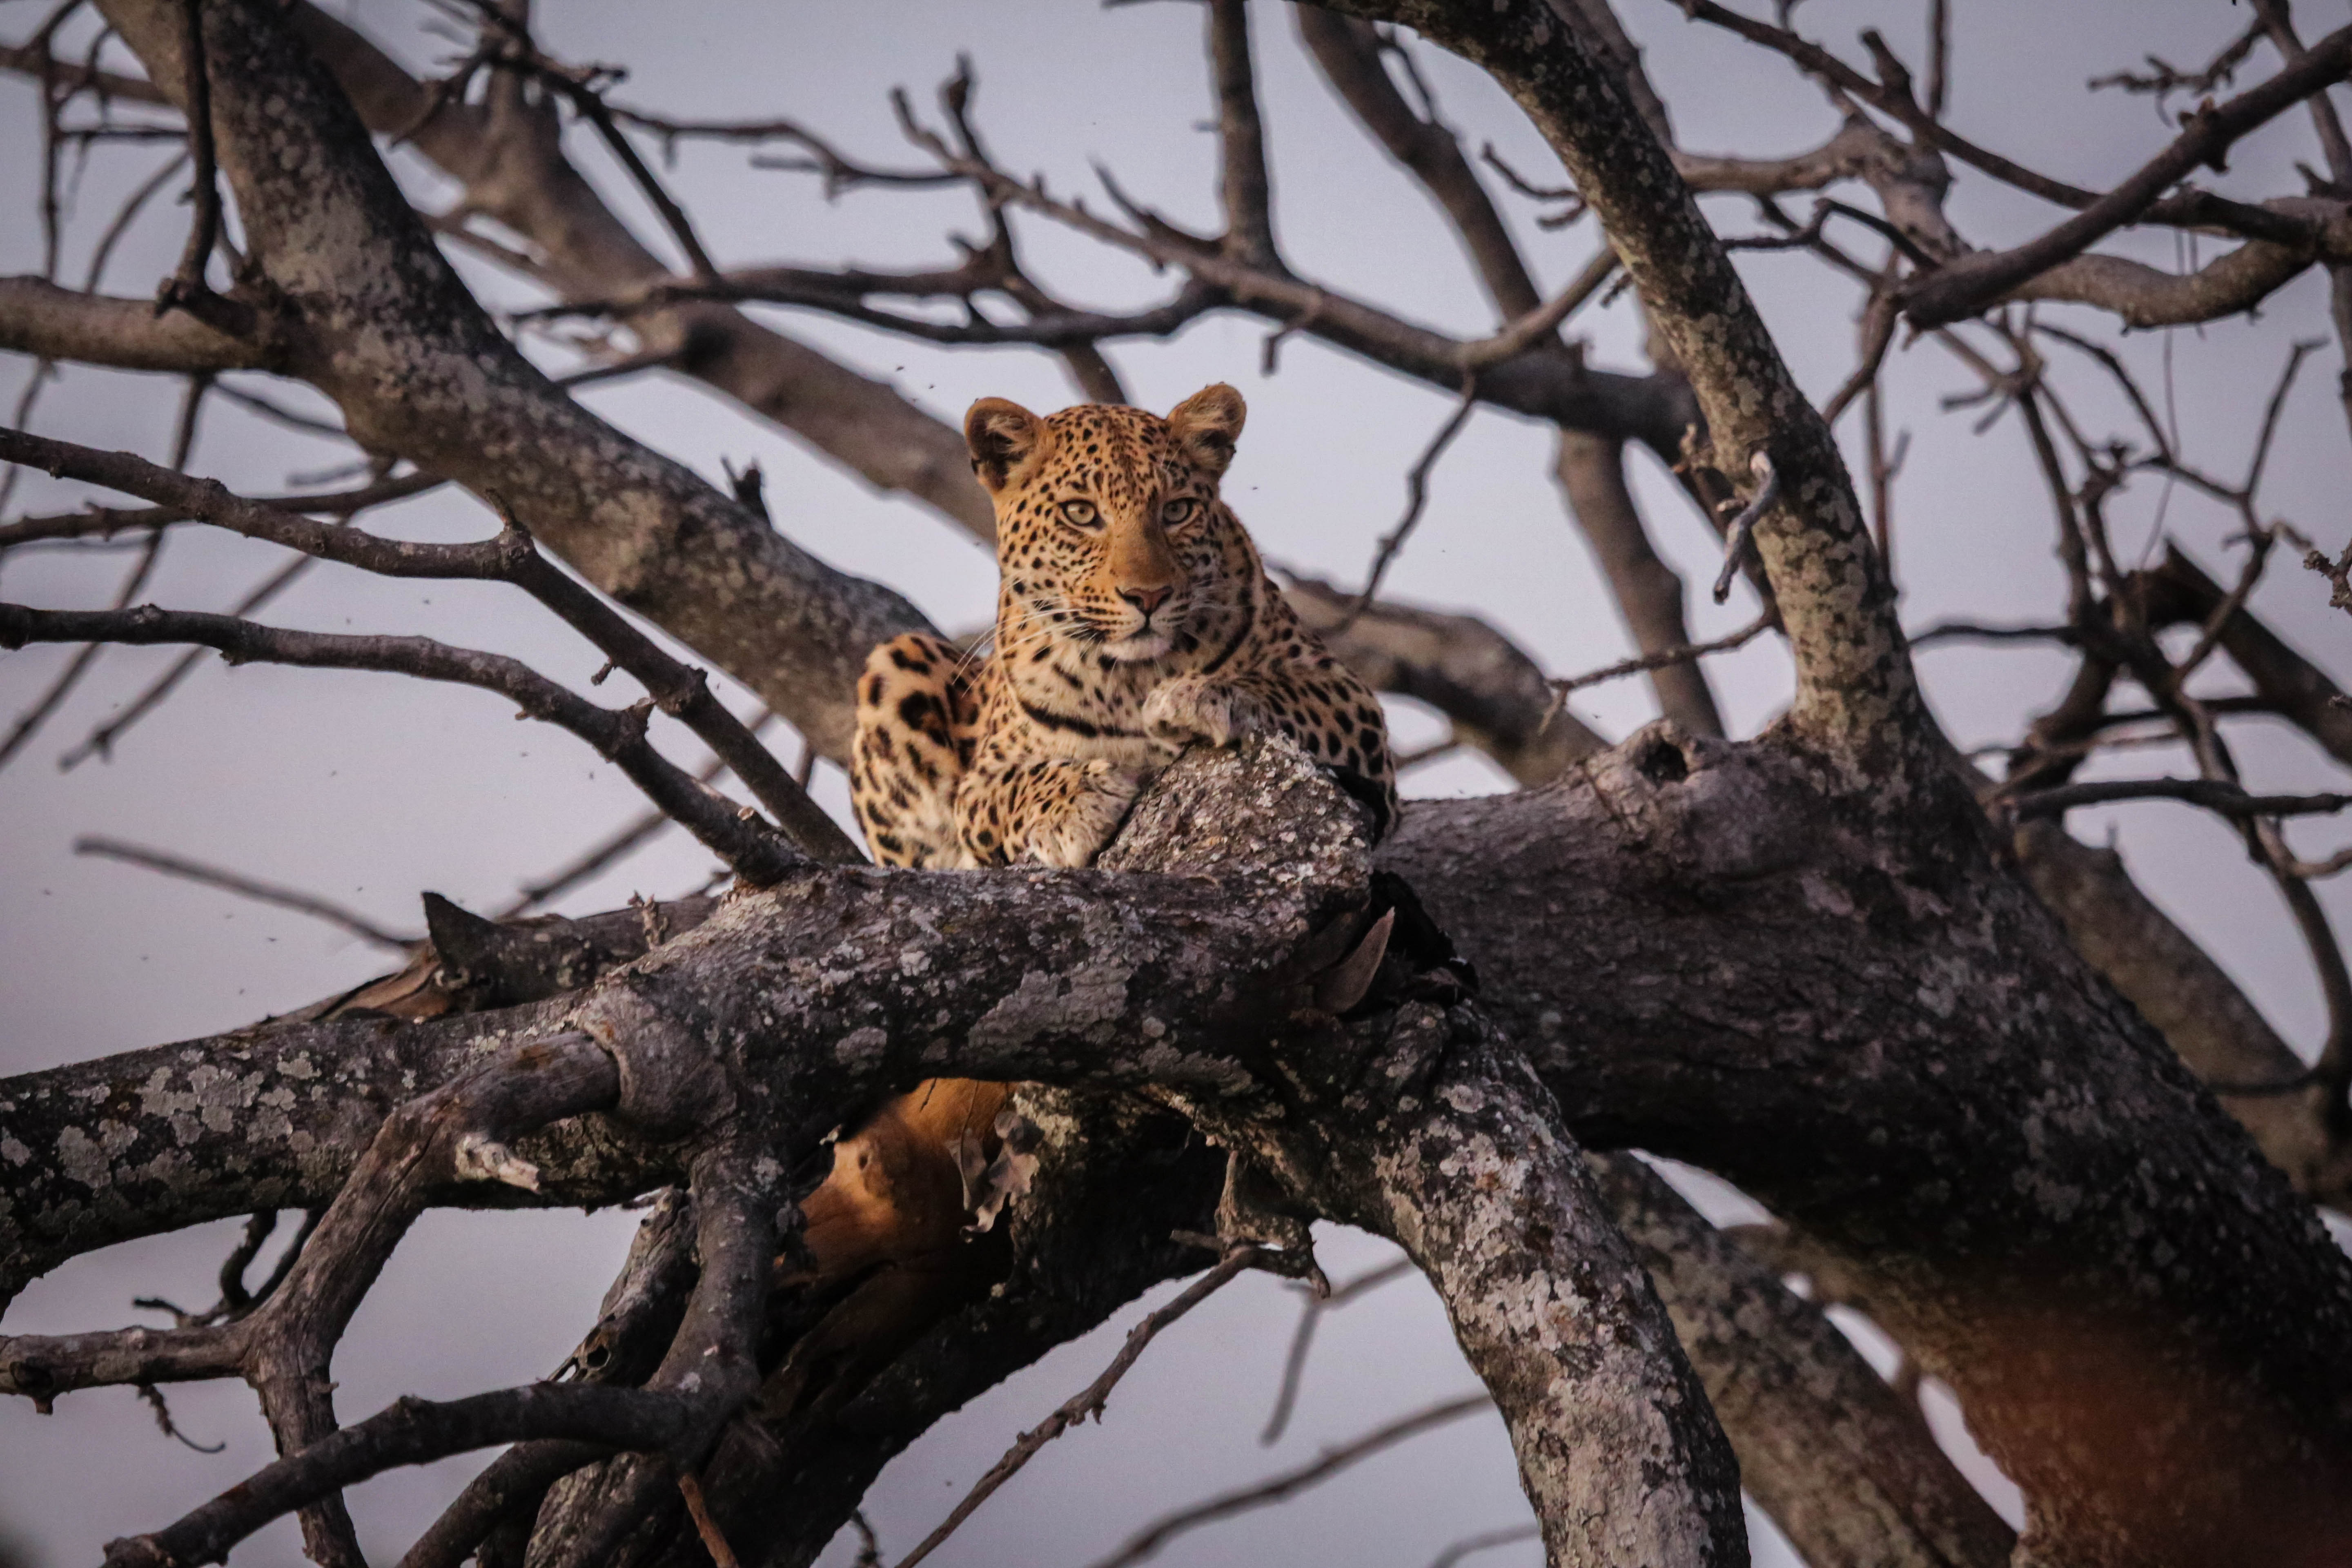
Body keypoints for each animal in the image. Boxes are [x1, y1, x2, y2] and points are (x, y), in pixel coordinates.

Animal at [849, 381, 1397, 870]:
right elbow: (1010, 790)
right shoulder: (981, 782)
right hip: (897, 661)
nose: (1148, 596)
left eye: (1177, 511)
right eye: (1080, 513)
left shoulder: (1351, 701)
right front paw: (1074, 800)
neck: (1131, 678)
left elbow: (1284, 688)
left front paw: (1203, 696)